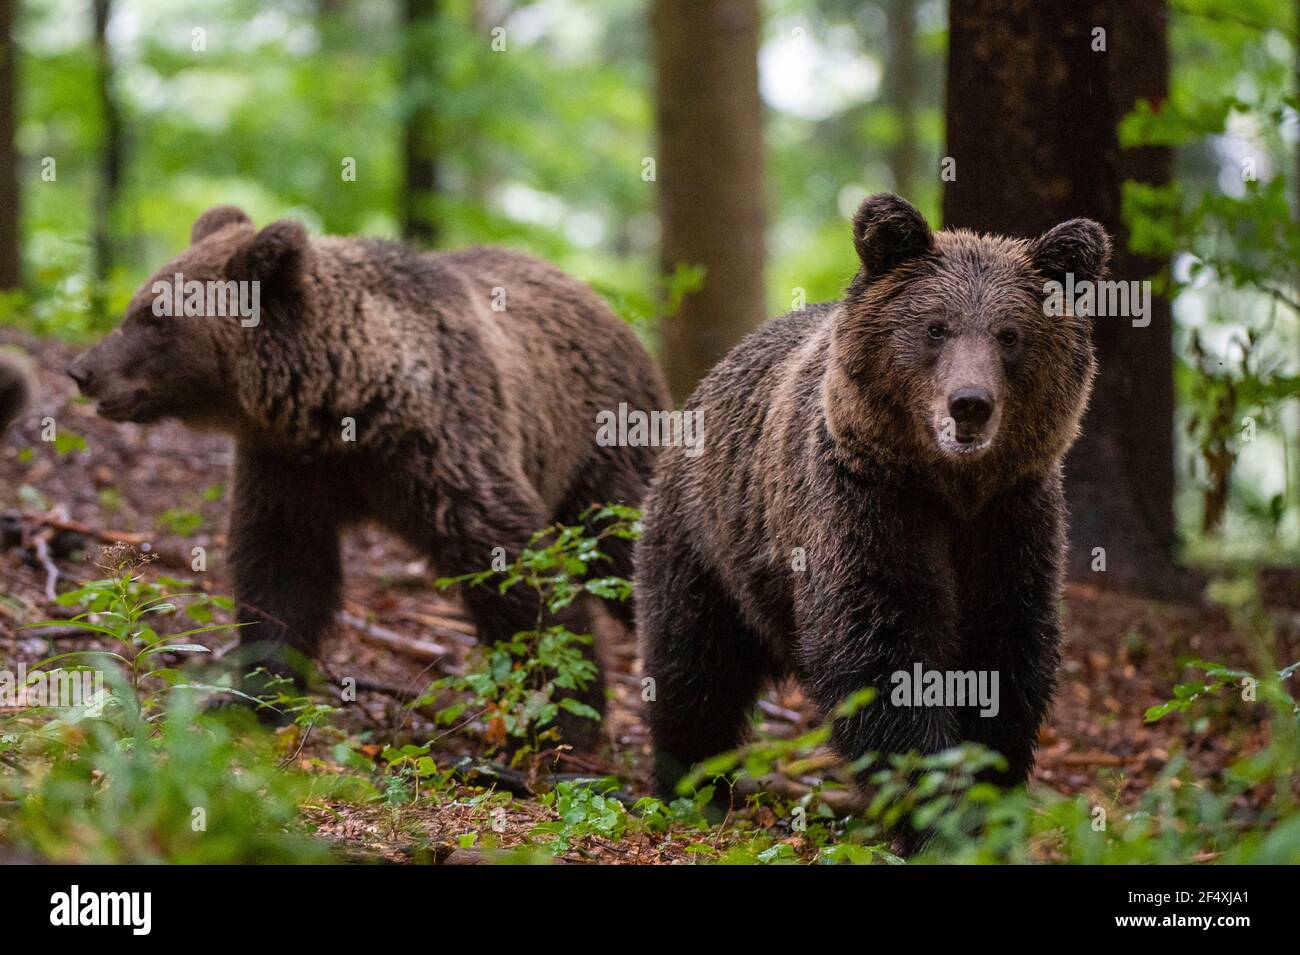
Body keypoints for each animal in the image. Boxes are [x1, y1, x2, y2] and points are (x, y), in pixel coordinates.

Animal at [69, 205, 670, 727]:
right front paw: (254, 695)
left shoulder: (444, 453)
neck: (347, 405)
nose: (83, 370)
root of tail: (601, 301)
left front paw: (566, 714)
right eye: (137, 304)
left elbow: (512, 568)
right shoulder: (287, 467)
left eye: (155, 317)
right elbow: (281, 571)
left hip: (602, 450)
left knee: (629, 543)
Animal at [636, 193, 1109, 814]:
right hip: (710, 535)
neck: (950, 487)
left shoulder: (1012, 515)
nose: (970, 404)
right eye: (936, 328)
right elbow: (881, 650)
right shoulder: (866, 505)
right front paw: (934, 806)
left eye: (1009, 334)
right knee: (693, 663)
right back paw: (692, 781)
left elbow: (1006, 649)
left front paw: (987, 791)